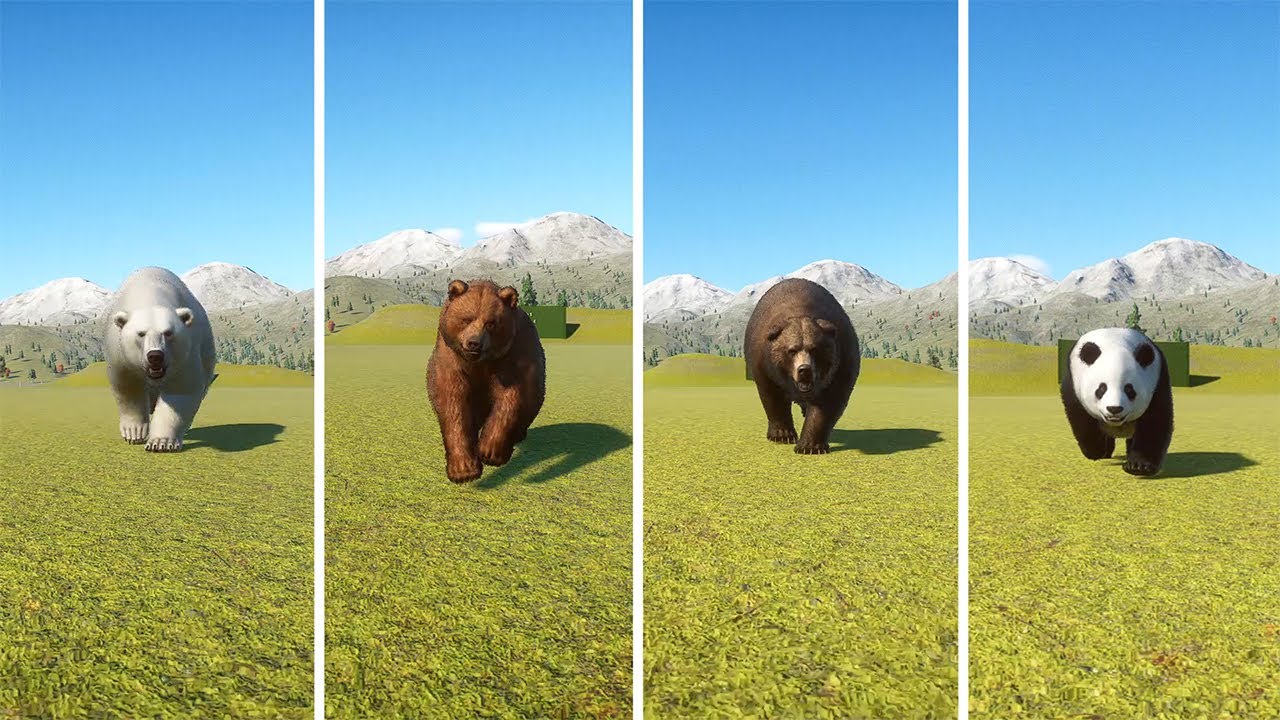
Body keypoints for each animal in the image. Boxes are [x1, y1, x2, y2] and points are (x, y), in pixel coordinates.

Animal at [104, 266, 216, 452]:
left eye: (168, 332)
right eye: (141, 333)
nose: (155, 356)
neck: (150, 292)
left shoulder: (184, 355)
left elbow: (179, 391)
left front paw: (161, 443)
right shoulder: (120, 354)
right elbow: (128, 387)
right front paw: (134, 433)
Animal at [426, 279, 546, 483]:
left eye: (491, 323)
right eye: (466, 319)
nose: (474, 343)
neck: (479, 362)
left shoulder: (510, 356)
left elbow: (510, 398)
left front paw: (489, 451)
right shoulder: (451, 359)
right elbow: (453, 404)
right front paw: (463, 469)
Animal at [743, 277, 860, 454]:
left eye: (814, 349)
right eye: (792, 350)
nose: (804, 370)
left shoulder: (841, 360)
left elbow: (828, 402)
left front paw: (810, 445)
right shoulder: (764, 362)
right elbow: (772, 396)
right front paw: (782, 435)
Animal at [1061, 327, 1173, 476]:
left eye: (1129, 389)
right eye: (1101, 388)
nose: (1114, 409)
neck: (1115, 341)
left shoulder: (1157, 382)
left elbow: (1154, 422)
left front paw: (1138, 466)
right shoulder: (1074, 382)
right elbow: (1081, 419)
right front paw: (1096, 451)